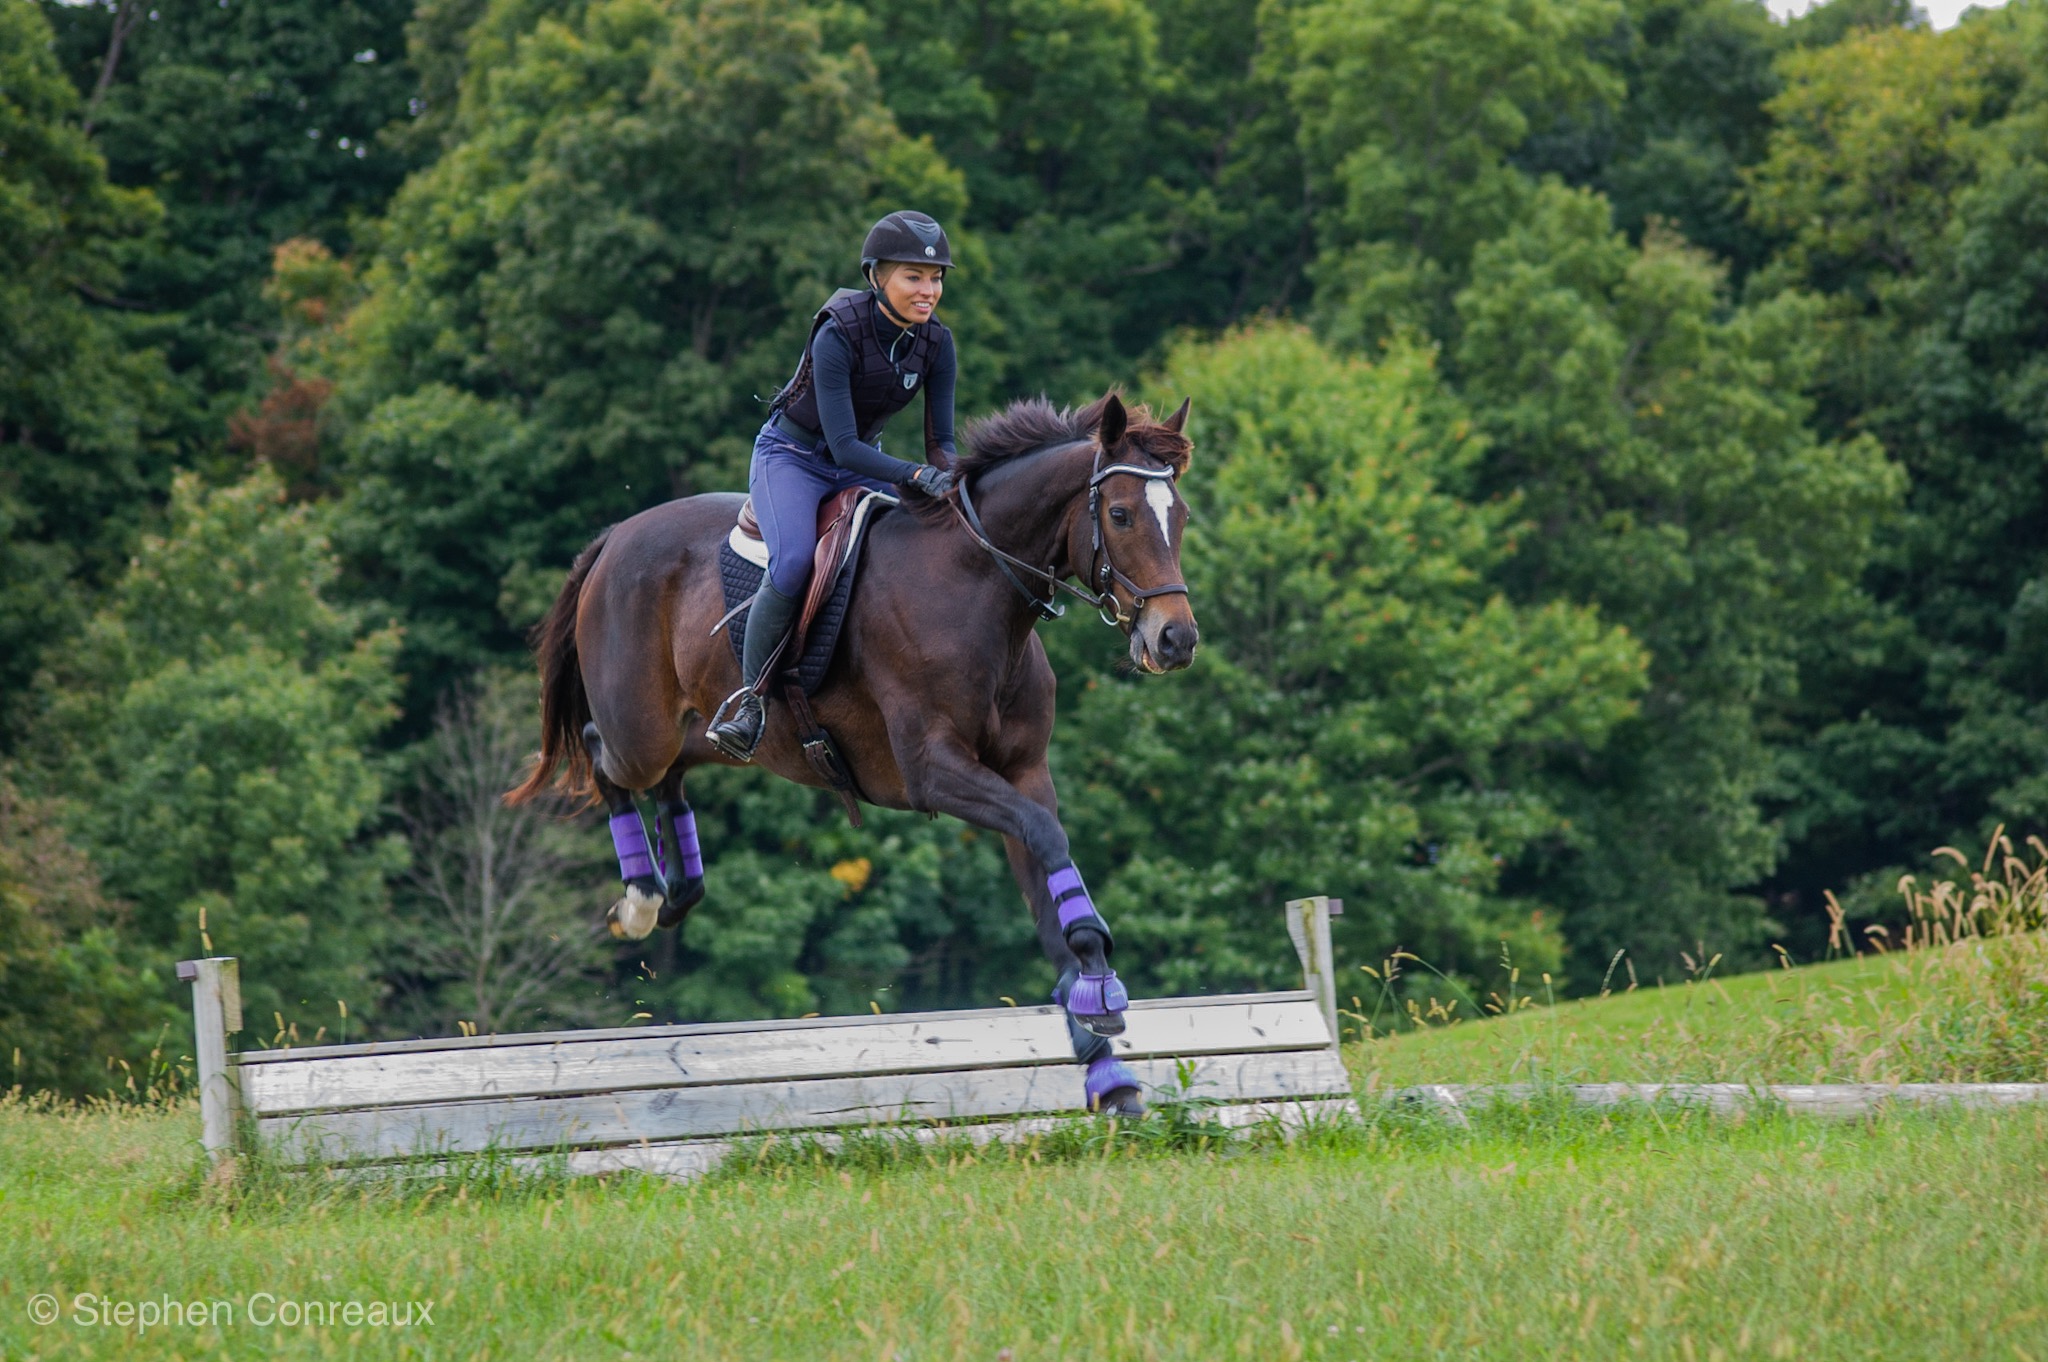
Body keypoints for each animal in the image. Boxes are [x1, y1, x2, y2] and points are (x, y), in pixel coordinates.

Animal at [506, 393, 1198, 1114]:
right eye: (1120, 515)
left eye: (1178, 516)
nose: (1175, 640)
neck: (978, 589)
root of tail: (615, 535)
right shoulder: (934, 772)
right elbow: (1044, 836)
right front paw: (1099, 986)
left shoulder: (1023, 773)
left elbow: (1047, 874)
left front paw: (1106, 1066)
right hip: (642, 728)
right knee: (605, 757)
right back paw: (643, 898)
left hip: (719, 729)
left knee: (678, 770)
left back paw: (680, 889)